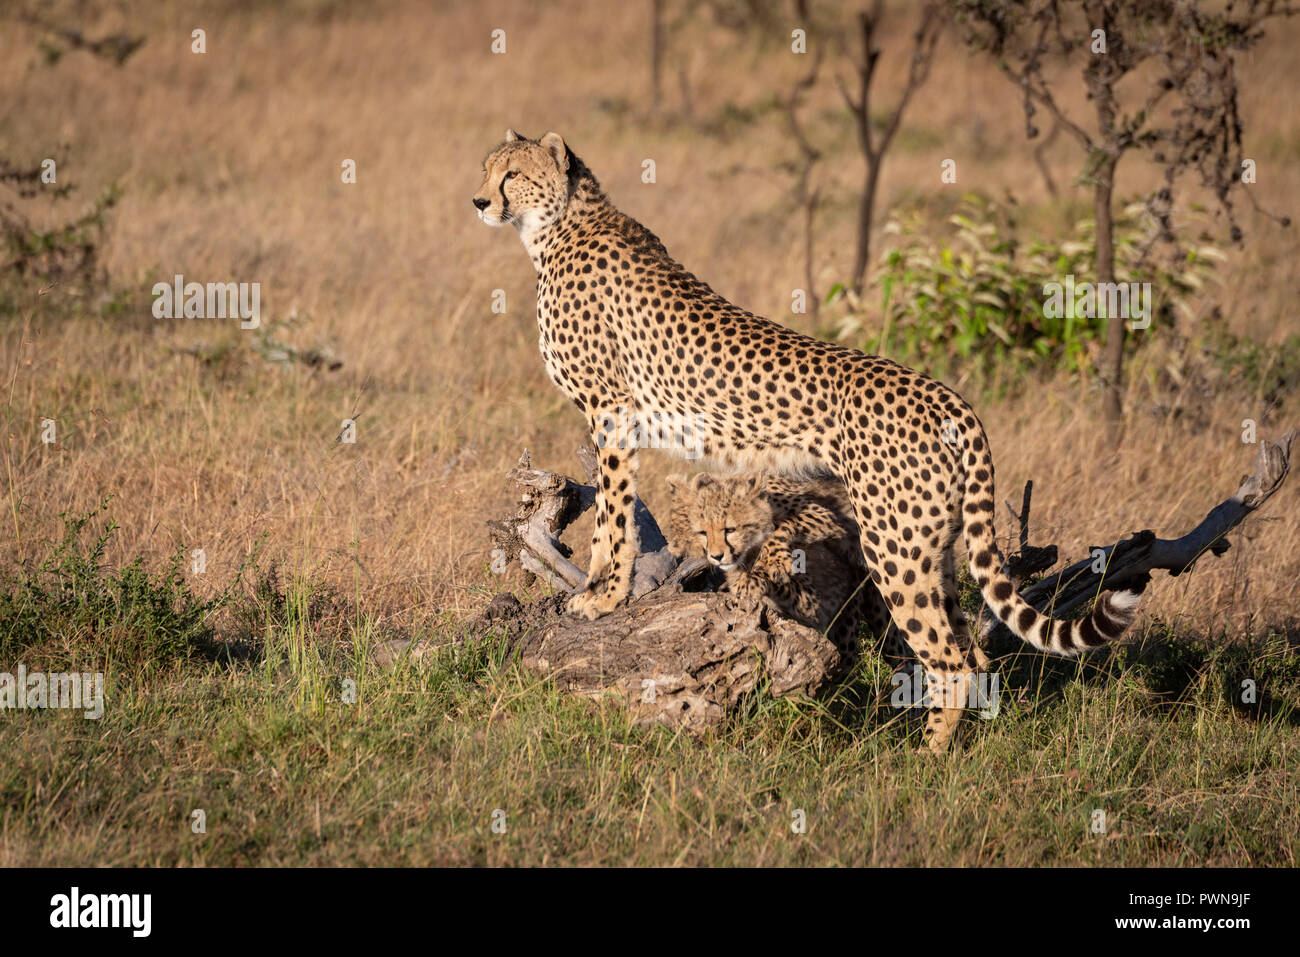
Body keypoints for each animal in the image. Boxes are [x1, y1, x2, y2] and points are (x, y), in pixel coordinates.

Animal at [473, 129, 1148, 751]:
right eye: (486, 169)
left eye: (512, 174)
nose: (479, 201)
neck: (558, 225)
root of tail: (948, 397)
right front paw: (598, 595)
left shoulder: (611, 411)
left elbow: (612, 517)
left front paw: (602, 598)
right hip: (936, 543)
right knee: (974, 652)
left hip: (894, 544)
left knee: (950, 659)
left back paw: (925, 759)